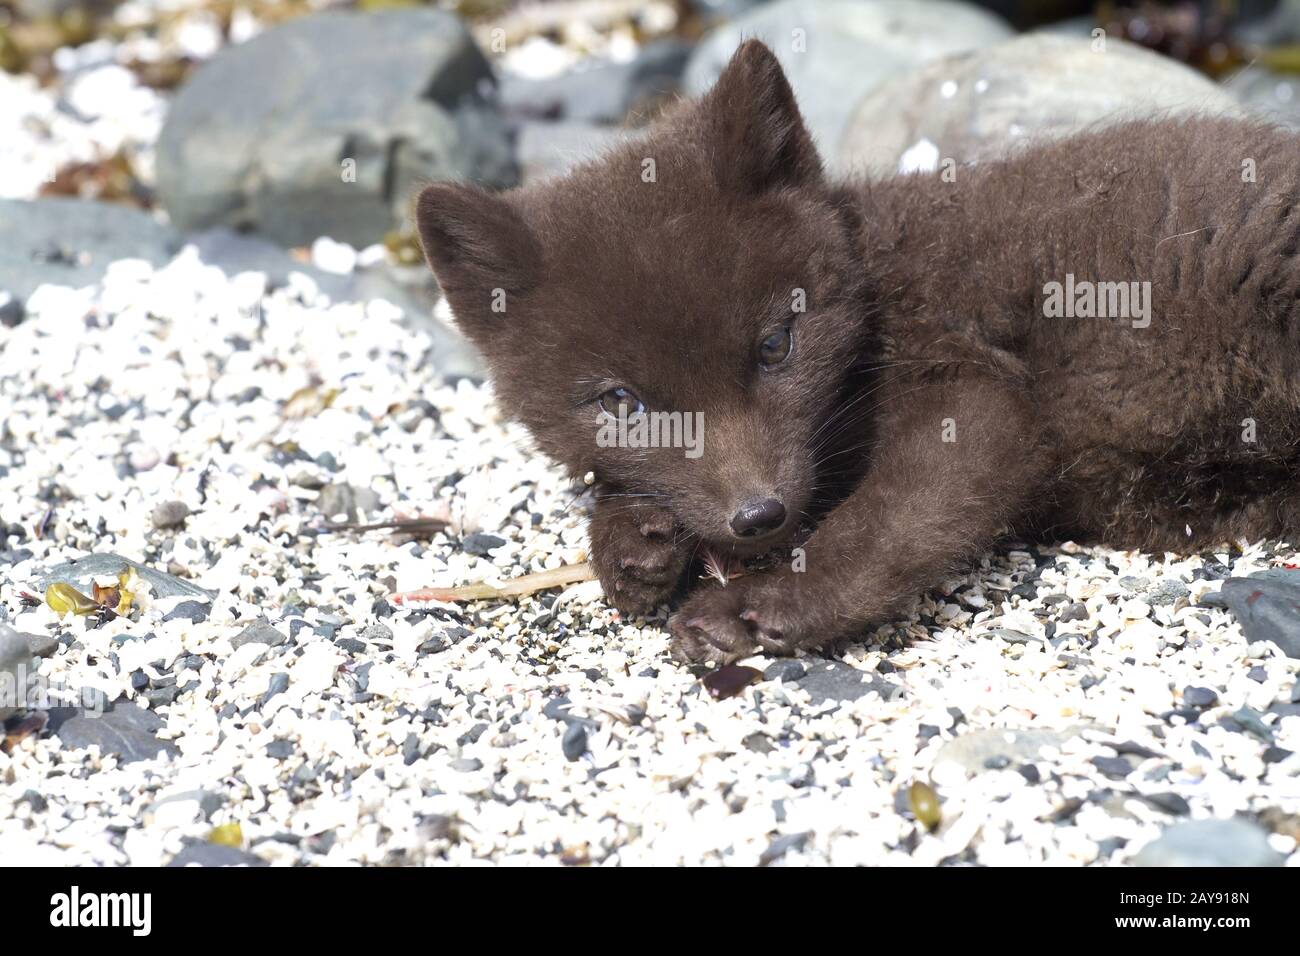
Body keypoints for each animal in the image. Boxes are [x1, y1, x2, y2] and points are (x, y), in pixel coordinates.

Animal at [415, 40, 1300, 665]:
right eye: (621, 403)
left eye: (776, 345)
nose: (758, 515)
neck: (874, 280)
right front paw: (635, 540)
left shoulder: (970, 392)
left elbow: (878, 526)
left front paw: (759, 607)